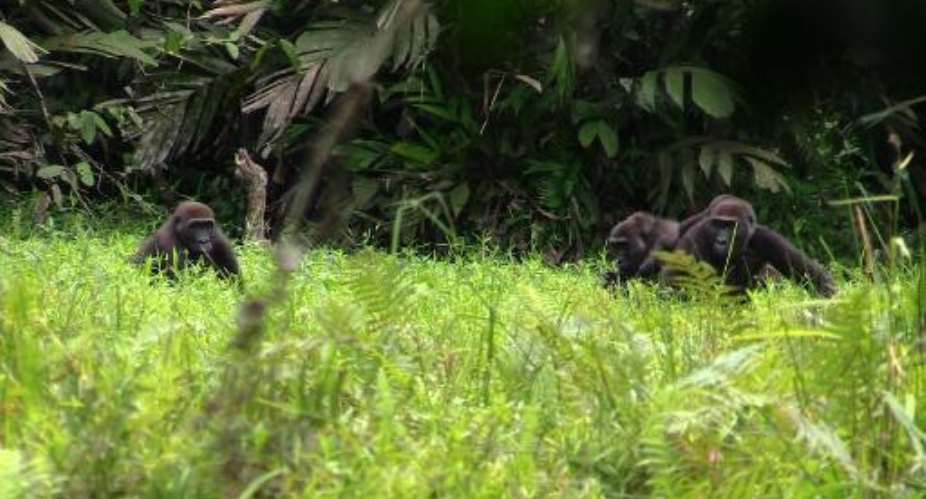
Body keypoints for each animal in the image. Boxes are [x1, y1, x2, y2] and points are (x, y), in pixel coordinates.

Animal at [663, 195, 836, 296]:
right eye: (718, 224)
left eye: (730, 226)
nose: (721, 241)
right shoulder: (696, 235)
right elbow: (675, 282)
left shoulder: (765, 237)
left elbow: (808, 273)